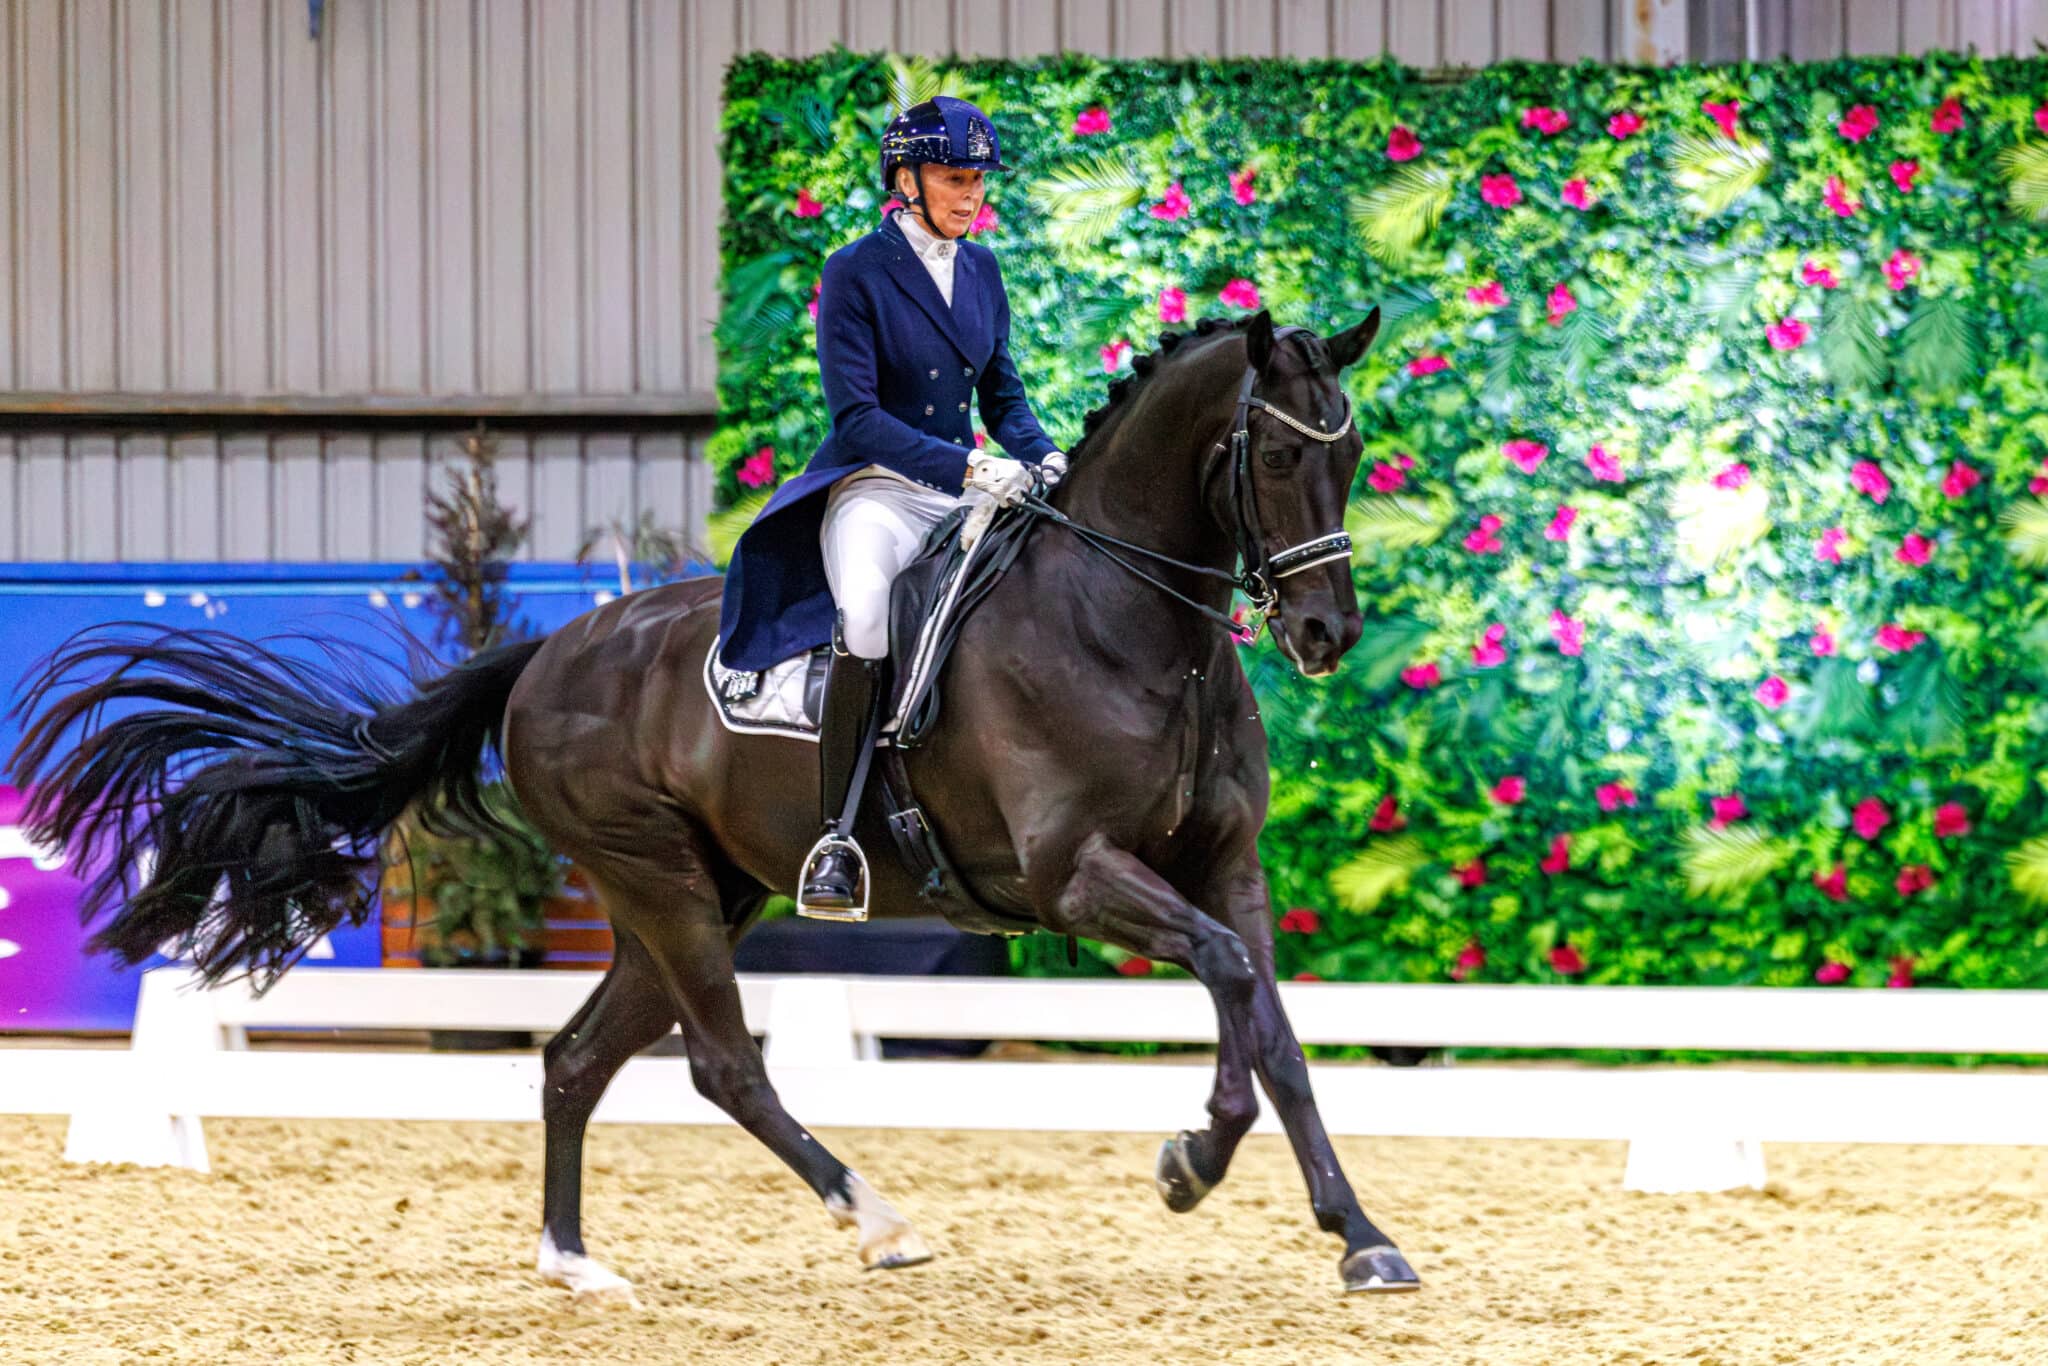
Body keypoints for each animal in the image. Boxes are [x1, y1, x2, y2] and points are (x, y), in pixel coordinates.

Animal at [8, 306, 1417, 1302]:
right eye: (1273, 451)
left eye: (1351, 451)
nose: (1324, 632)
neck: (1127, 626)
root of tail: (548, 655)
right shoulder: (1073, 873)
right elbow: (1229, 981)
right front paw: (1193, 1162)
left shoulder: (1222, 867)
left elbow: (1267, 1021)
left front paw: (1351, 1231)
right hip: (661, 881)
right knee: (725, 1061)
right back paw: (877, 1222)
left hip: (695, 890)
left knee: (579, 1059)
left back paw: (575, 1259)